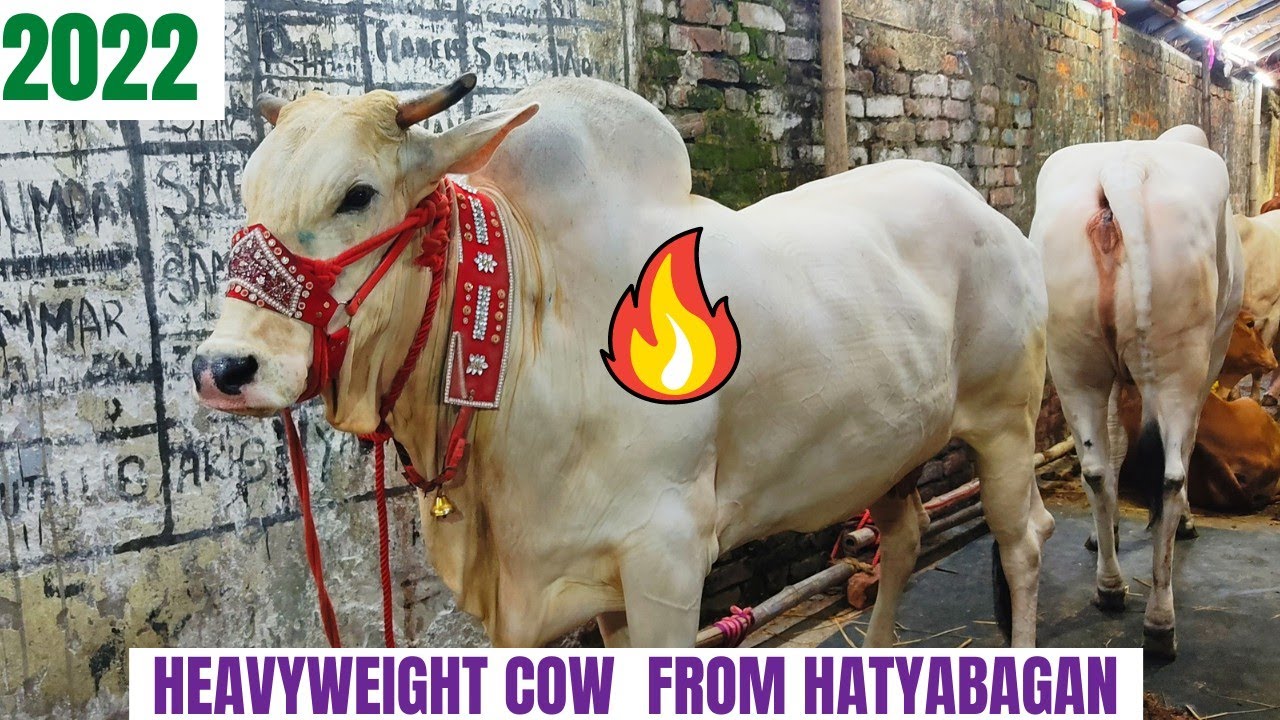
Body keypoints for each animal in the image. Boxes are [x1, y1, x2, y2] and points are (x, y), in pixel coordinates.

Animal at [192, 75, 1053, 648]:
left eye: (358, 193)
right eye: (248, 190)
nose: (224, 369)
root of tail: (986, 212)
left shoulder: (666, 561)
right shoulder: (580, 576)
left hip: (1005, 424)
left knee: (1025, 540)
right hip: (891, 447)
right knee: (904, 539)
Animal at [1031, 124, 1244, 660]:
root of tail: (1123, 169)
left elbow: (1113, 444)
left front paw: (1099, 535)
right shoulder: (1213, 351)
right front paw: (1186, 521)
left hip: (1072, 362)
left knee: (1094, 467)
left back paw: (1109, 586)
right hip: (1179, 363)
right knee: (1169, 475)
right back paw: (1160, 620)